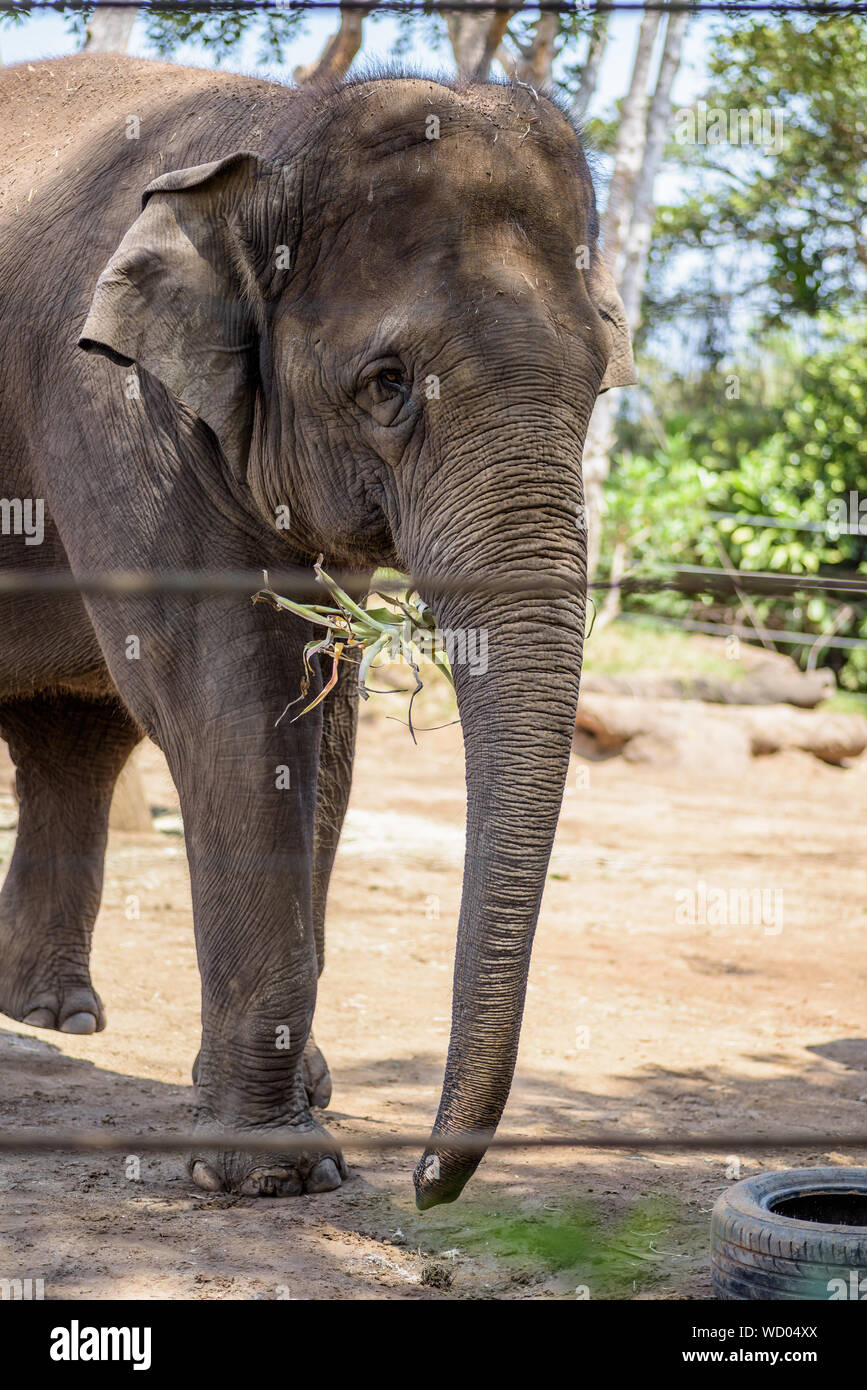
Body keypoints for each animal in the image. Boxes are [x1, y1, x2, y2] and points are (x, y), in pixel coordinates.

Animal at [0, 54, 635, 1208]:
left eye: (596, 384)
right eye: (386, 385)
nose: (426, 1180)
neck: (277, 127)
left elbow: (321, 721)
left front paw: (304, 1101)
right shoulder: (108, 397)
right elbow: (224, 692)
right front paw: (273, 1173)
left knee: (73, 737)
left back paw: (57, 1018)